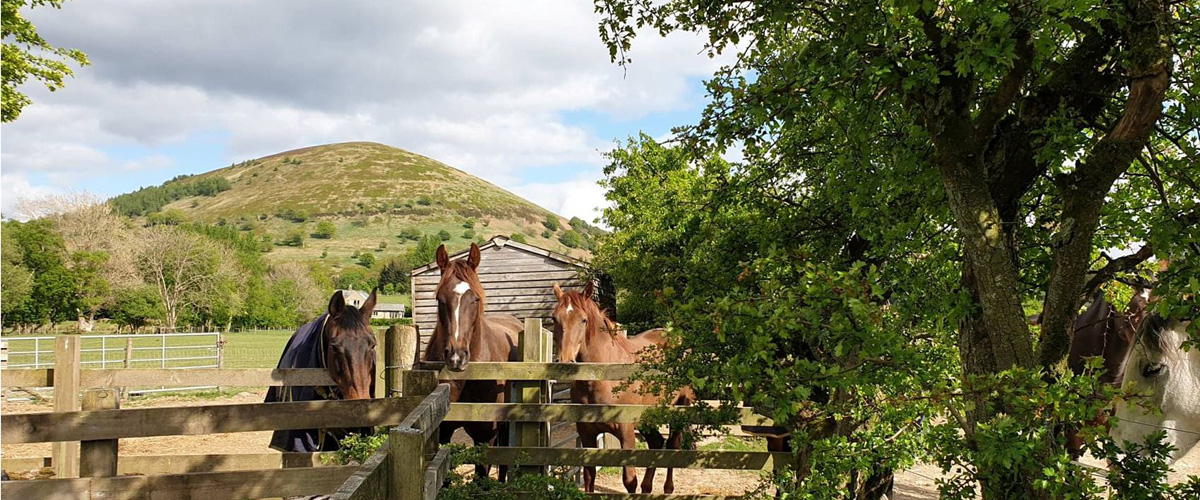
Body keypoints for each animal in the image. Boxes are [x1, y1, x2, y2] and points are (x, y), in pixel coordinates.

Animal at [551, 281, 695, 494]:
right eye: (554, 318)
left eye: (583, 320)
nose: (565, 361)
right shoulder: (586, 433)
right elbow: (589, 476)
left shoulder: (626, 432)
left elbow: (629, 481)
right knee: (656, 443)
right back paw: (647, 487)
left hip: (680, 408)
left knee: (672, 445)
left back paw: (668, 488)